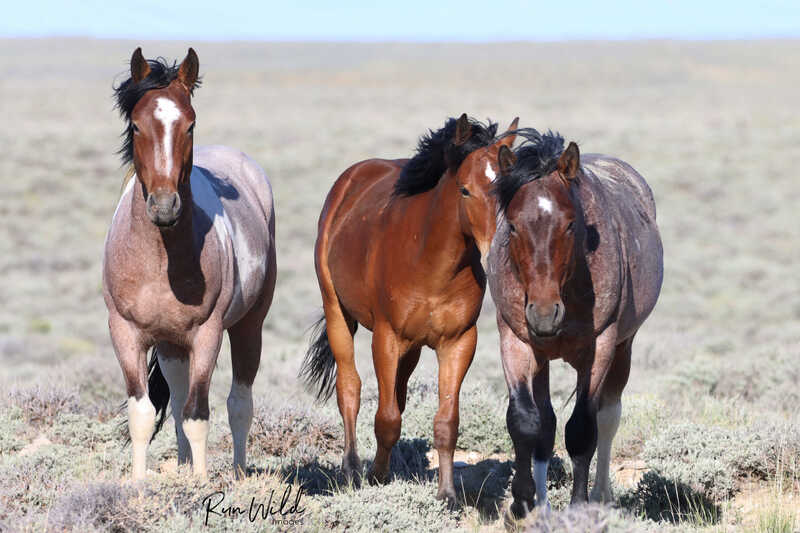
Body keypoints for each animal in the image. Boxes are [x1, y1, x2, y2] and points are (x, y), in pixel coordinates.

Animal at [103, 48, 276, 480]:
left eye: (190, 125)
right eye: (136, 126)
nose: (165, 207)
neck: (158, 263)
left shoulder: (207, 335)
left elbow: (199, 415)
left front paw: (200, 484)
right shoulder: (126, 334)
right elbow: (143, 414)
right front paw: (140, 483)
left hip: (248, 327)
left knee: (238, 403)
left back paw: (238, 475)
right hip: (170, 346)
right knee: (179, 400)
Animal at [300, 114, 519, 505]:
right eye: (465, 189)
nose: (497, 248)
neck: (430, 263)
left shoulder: (459, 342)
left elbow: (446, 422)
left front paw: (447, 494)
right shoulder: (386, 338)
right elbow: (386, 417)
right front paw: (375, 477)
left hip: (412, 349)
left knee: (397, 395)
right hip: (339, 314)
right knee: (350, 389)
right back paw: (351, 469)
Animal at [487, 131, 663, 519]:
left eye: (570, 224)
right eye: (512, 226)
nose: (543, 313)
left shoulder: (600, 347)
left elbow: (583, 429)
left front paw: (579, 506)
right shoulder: (516, 342)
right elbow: (526, 422)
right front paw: (523, 502)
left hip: (624, 348)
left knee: (608, 417)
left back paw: (601, 496)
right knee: (546, 423)